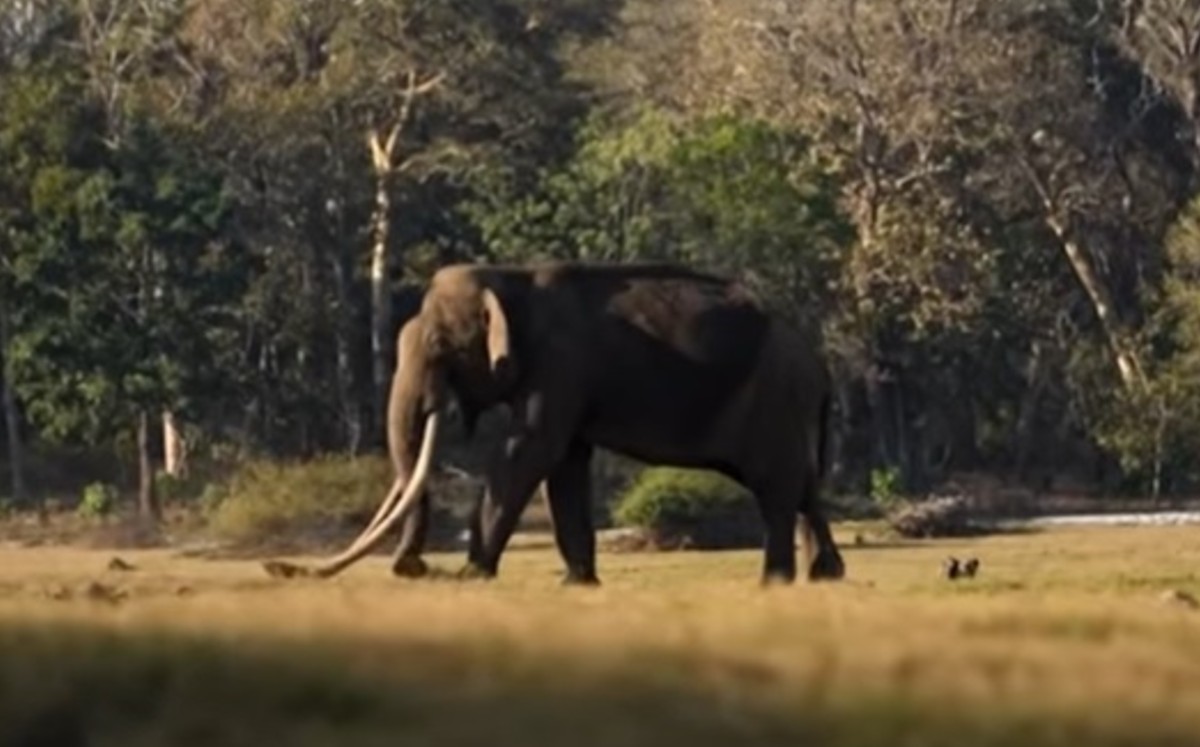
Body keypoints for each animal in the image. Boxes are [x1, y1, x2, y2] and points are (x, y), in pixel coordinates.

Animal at [262, 260, 845, 586]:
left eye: (440, 347)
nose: (413, 568)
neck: (508, 277)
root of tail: (820, 368)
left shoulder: (560, 366)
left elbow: (529, 452)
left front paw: (470, 576)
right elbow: (564, 466)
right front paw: (577, 584)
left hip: (773, 401)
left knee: (775, 488)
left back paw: (775, 582)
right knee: (803, 486)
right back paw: (825, 576)